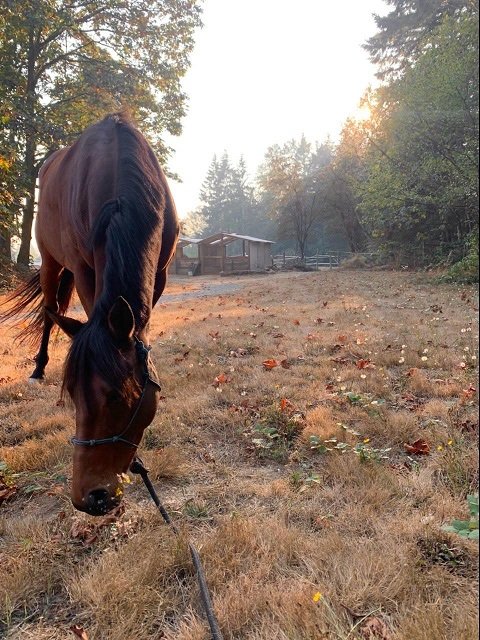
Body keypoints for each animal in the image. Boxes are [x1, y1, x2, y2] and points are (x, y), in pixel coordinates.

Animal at [1, 113, 179, 515]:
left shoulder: (160, 272)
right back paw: (37, 369)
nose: (90, 499)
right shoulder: (83, 269)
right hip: (50, 261)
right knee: (50, 311)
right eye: (72, 395)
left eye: (116, 396)